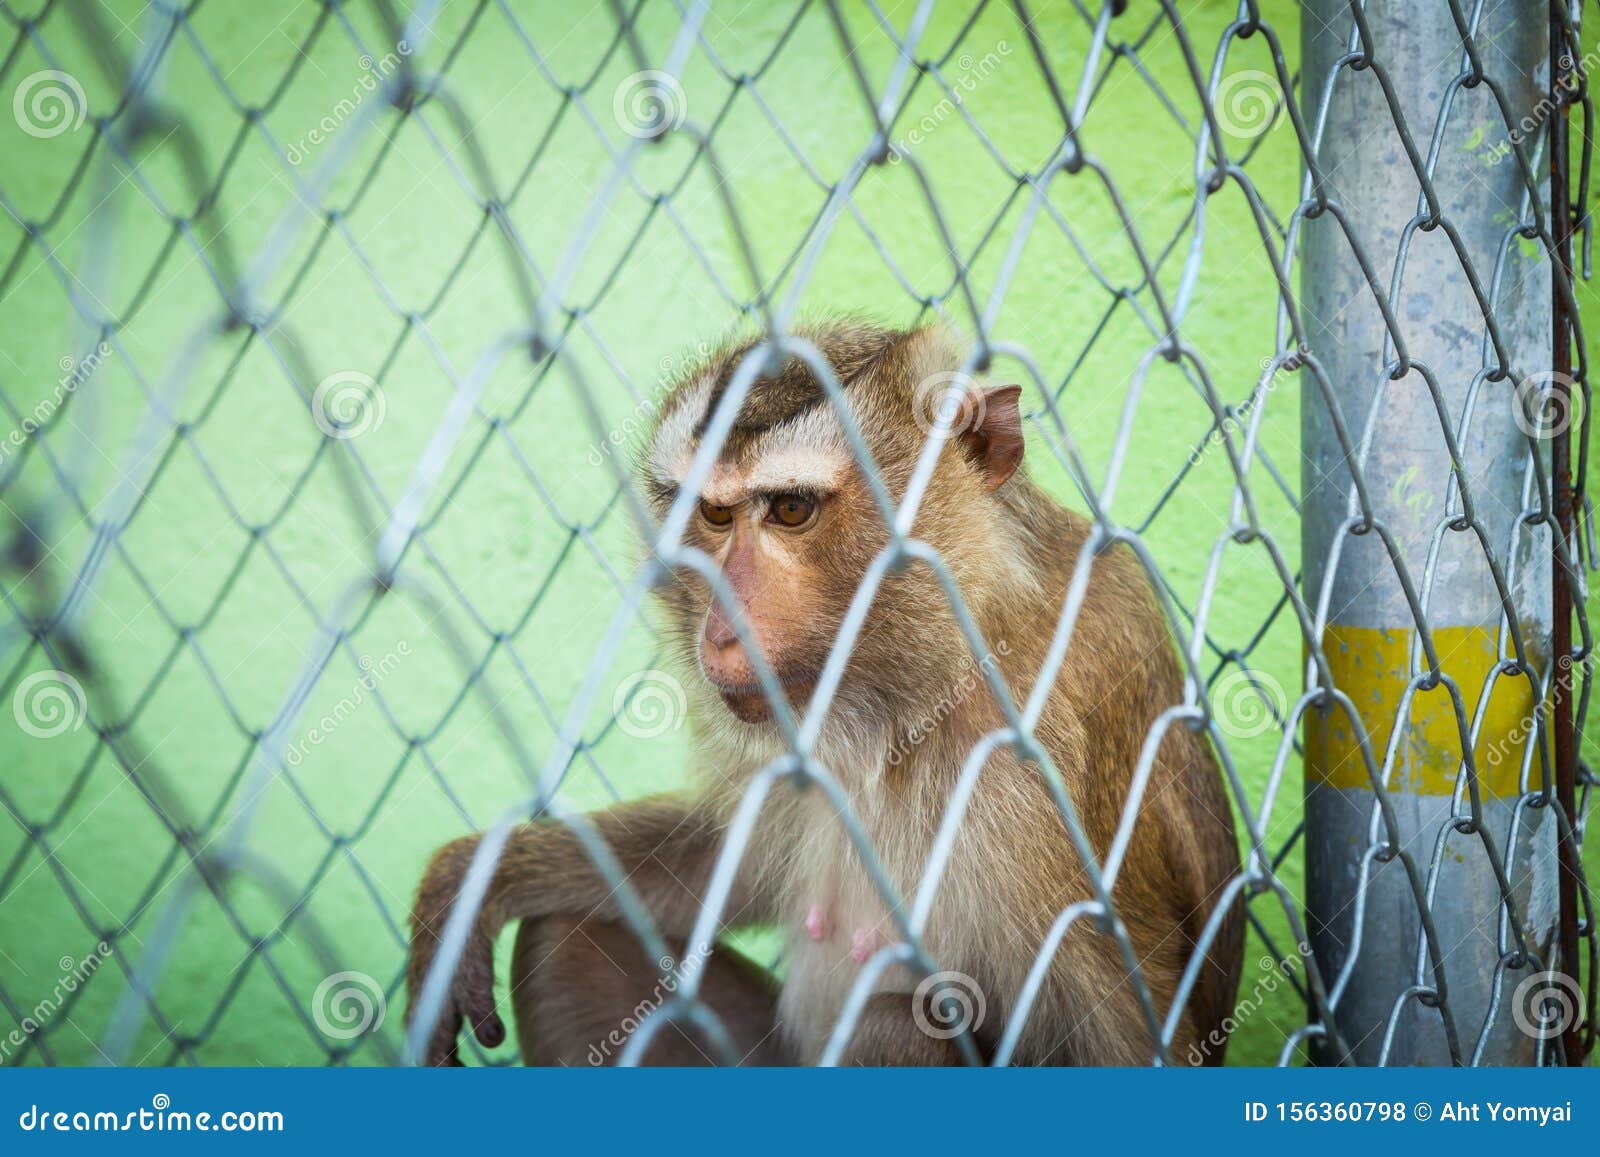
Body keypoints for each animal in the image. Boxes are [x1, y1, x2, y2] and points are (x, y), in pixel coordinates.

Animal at [406, 320, 1244, 1066]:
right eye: (714, 514)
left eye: (790, 509)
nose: (723, 628)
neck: (933, 678)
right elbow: (724, 862)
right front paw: (479, 876)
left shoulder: (1044, 759)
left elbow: (1122, 1037)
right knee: (563, 937)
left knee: (897, 1022)